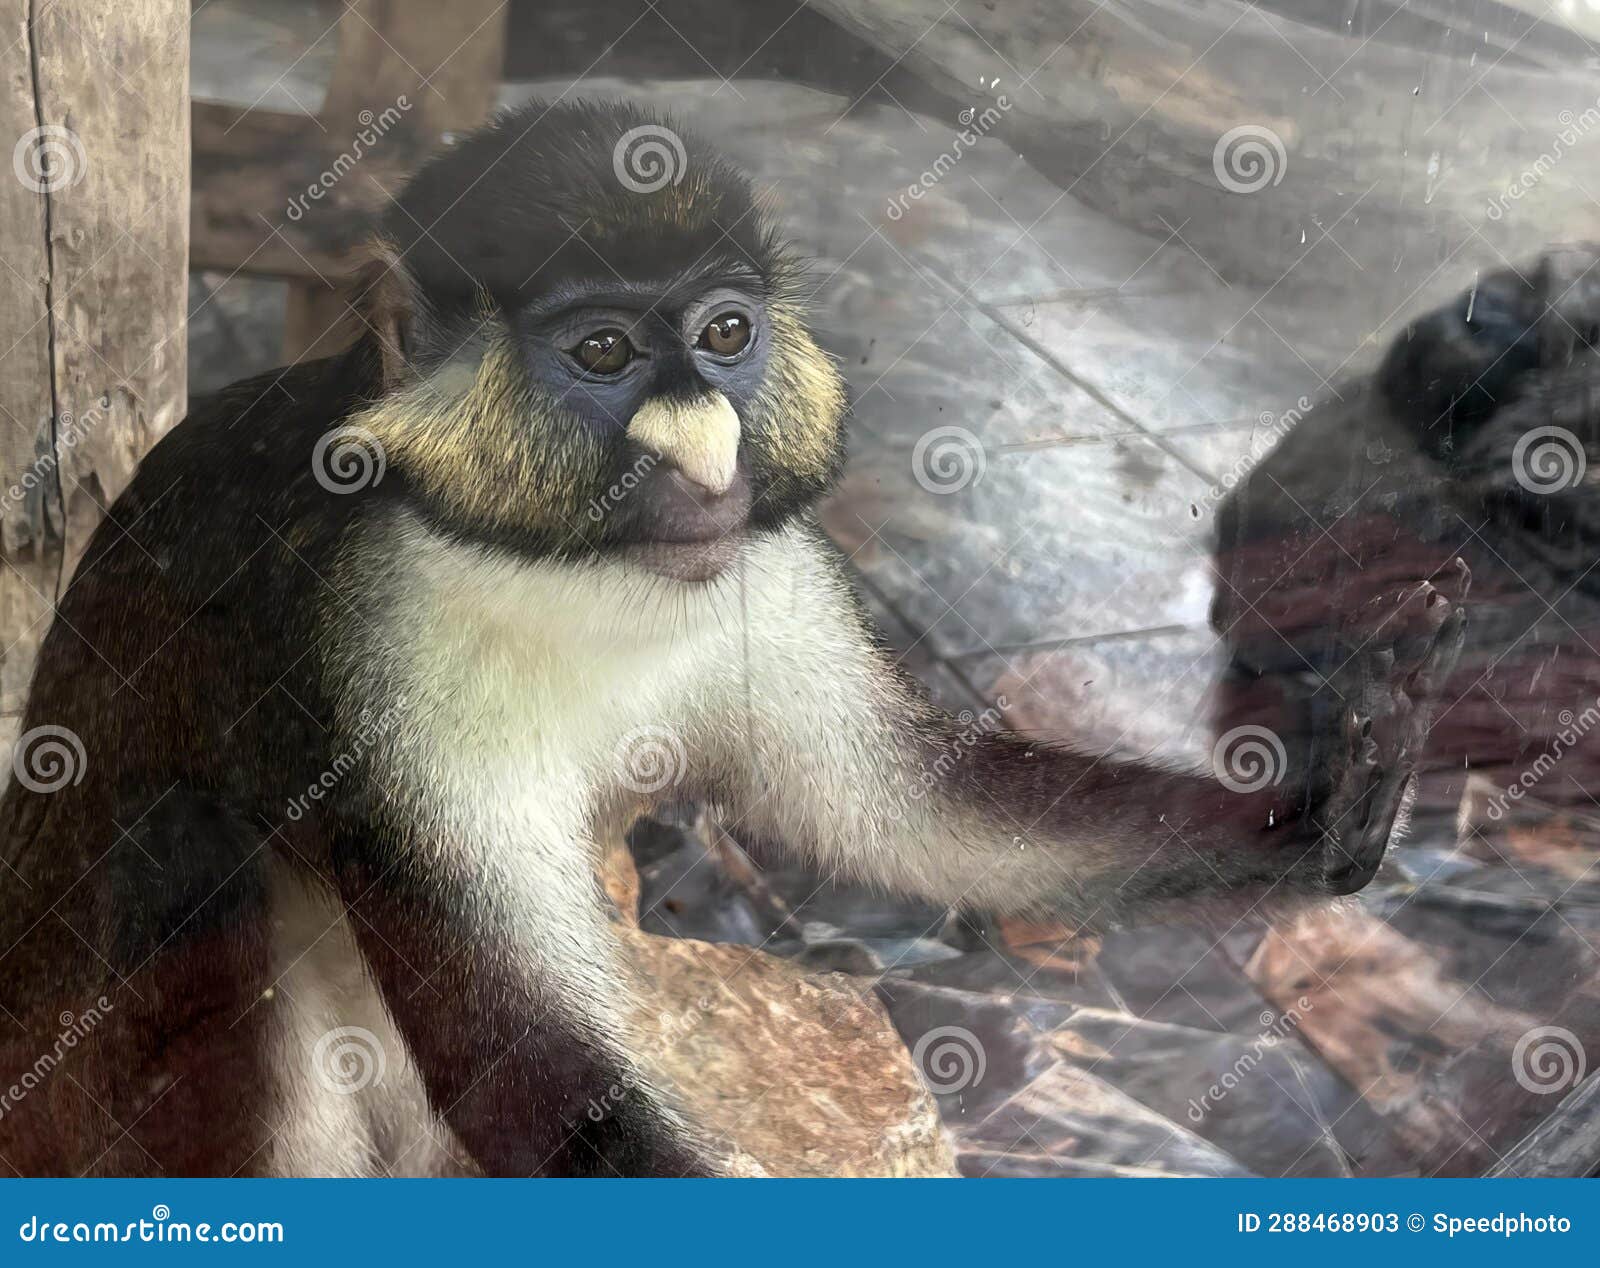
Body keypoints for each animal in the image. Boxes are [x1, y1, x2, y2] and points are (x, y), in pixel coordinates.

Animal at [0, 100, 1467, 1178]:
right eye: (600, 351)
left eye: (722, 334)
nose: (704, 445)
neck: (548, 567)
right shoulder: (364, 663)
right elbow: (535, 1076)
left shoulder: (776, 567)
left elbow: (910, 813)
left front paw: (1334, 801)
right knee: (182, 838)